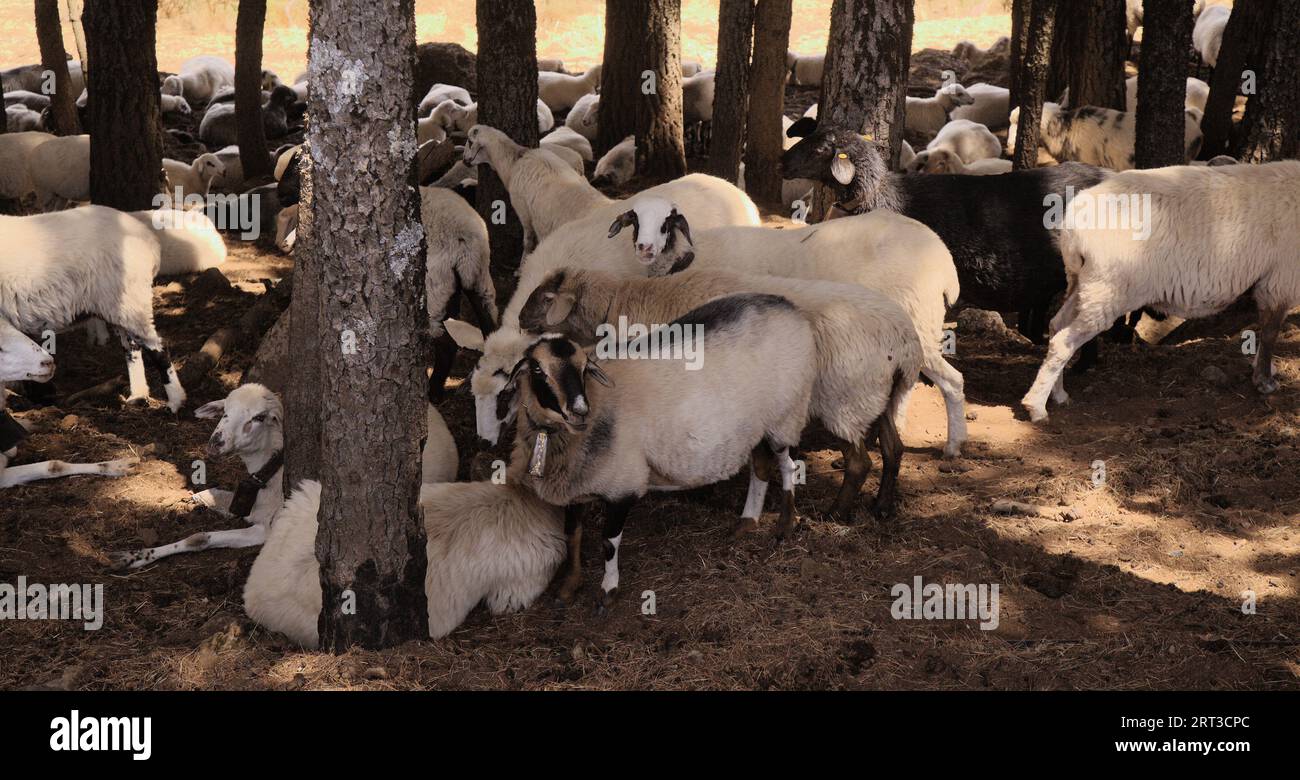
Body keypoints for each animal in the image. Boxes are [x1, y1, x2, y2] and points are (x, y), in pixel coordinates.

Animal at [0, 206, 186, 412]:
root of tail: (148, 239)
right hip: (119, 303)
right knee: (132, 347)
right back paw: (138, 395)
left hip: (131, 298)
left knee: (156, 347)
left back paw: (176, 402)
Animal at [511, 295, 819, 604]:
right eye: (537, 369)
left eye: (585, 368)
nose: (579, 410)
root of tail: (785, 303)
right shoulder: (576, 486)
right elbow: (572, 534)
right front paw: (570, 585)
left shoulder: (623, 483)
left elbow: (609, 542)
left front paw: (608, 589)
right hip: (756, 424)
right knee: (761, 467)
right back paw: (748, 521)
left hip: (786, 414)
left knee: (788, 465)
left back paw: (785, 524)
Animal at [519, 270, 923, 526]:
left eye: (546, 297)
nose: (520, 320)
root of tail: (905, 342)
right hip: (878, 398)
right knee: (893, 448)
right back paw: (882, 507)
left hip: (845, 400)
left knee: (859, 462)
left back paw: (837, 513)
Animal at [601, 197, 966, 458]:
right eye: (635, 220)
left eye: (667, 222)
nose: (644, 248)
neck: (685, 257)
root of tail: (943, 260)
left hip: (918, 321)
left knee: (952, 381)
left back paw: (953, 447)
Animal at [1021, 160, 1300, 422]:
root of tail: (1072, 227)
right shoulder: (1280, 280)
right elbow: (1270, 333)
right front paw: (1264, 381)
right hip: (1108, 288)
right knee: (1063, 342)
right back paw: (1036, 407)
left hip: (1084, 284)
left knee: (1056, 326)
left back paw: (1058, 395)